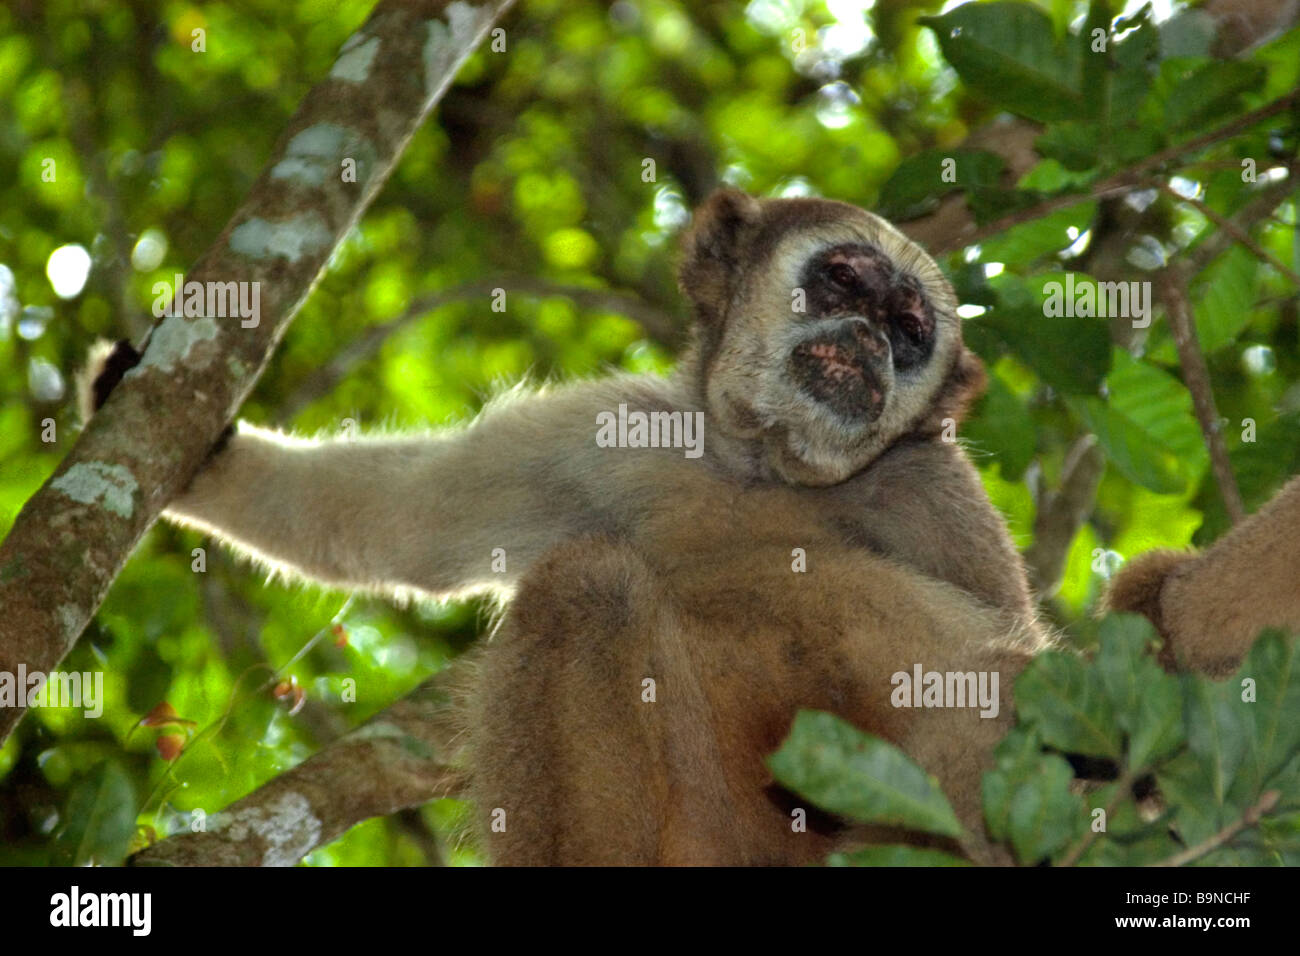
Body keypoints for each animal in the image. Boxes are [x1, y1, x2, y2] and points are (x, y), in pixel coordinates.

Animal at [83, 188, 1300, 865]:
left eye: (911, 326)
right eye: (844, 279)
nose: (870, 335)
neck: (766, 473)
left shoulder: (932, 492)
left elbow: (1021, 655)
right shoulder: (604, 441)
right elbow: (403, 523)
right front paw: (198, 449)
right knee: (590, 585)